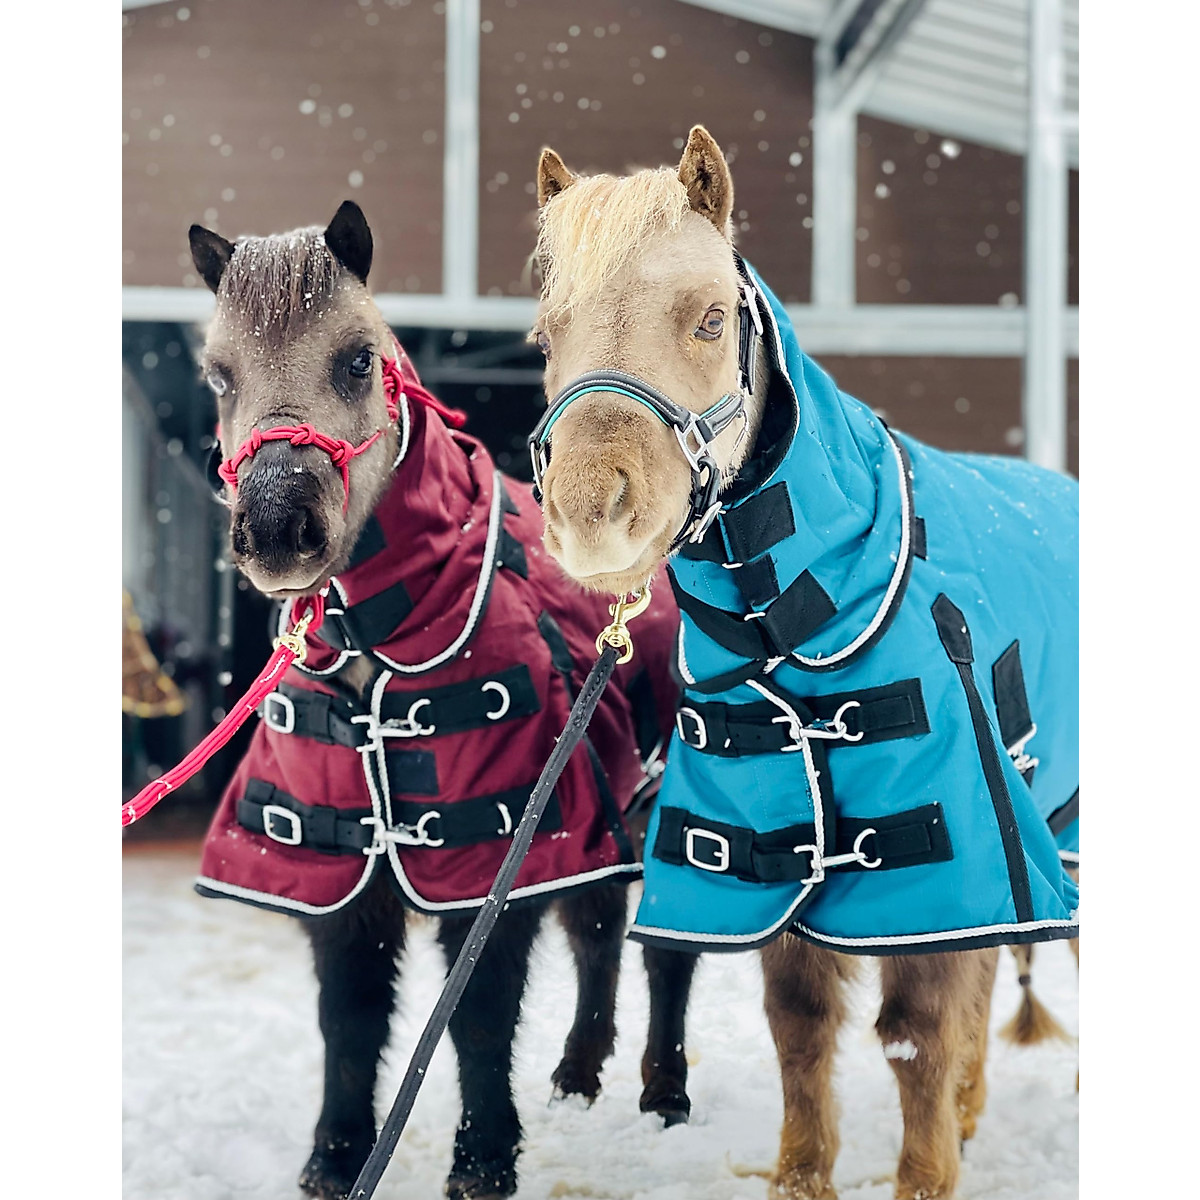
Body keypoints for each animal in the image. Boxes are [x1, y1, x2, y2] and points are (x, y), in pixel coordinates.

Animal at [185, 201, 696, 1200]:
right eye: (219, 376)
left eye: (357, 359)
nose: (278, 529)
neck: (382, 645)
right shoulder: (340, 872)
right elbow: (349, 1020)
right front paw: (336, 1156)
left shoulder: (494, 856)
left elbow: (478, 1018)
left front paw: (484, 1157)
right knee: (600, 938)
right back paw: (579, 1073)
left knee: (667, 953)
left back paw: (663, 1090)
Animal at [526, 126, 1079, 1200]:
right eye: (544, 336)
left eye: (708, 319)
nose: (589, 511)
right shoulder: (773, 846)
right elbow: (801, 1025)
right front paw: (803, 1173)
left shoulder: (943, 856)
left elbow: (914, 1033)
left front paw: (927, 1171)